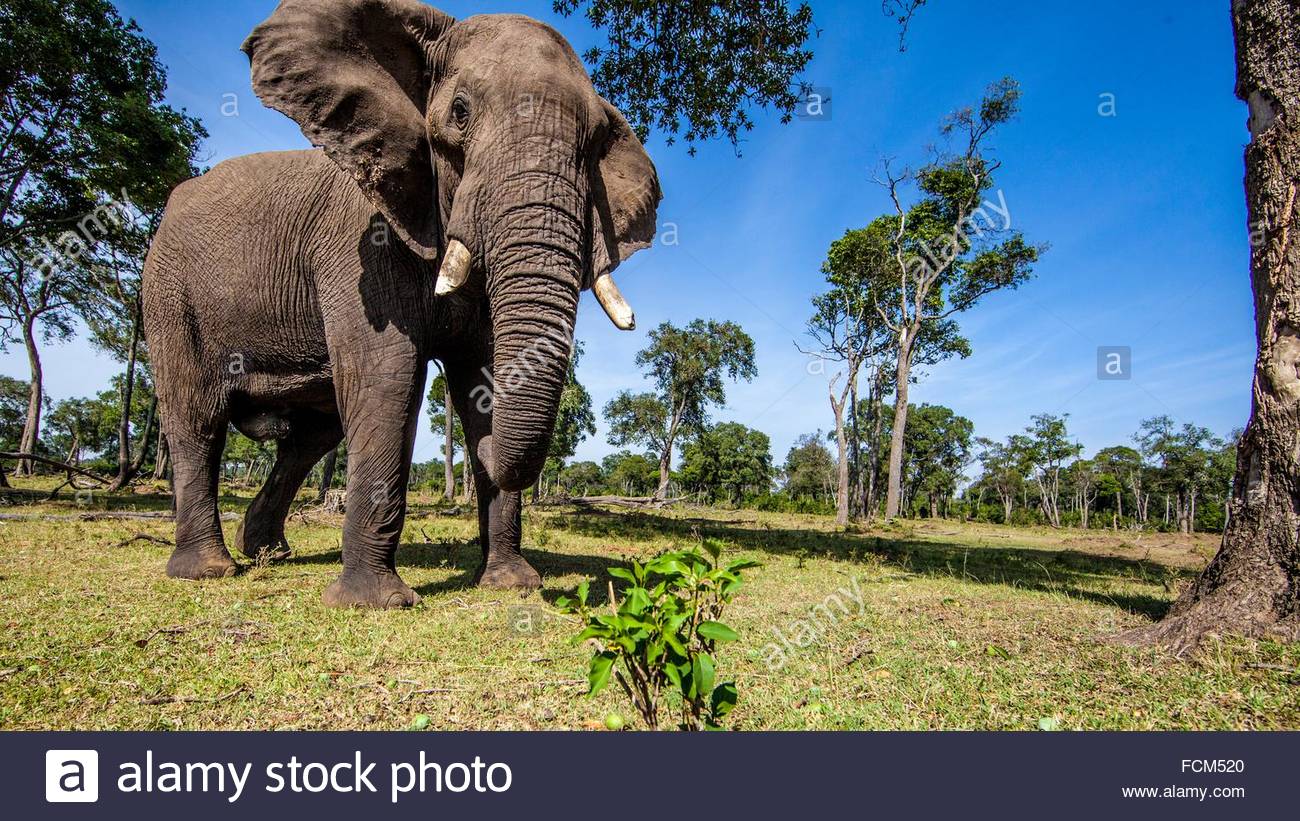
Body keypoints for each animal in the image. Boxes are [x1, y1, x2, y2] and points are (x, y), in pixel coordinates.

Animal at [141, 0, 661, 607]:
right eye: (460, 113)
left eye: (598, 139)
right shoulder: (361, 243)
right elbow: (387, 378)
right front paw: (374, 603)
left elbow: (481, 379)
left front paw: (510, 583)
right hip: (169, 292)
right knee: (197, 418)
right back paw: (209, 570)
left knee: (311, 436)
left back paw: (268, 554)